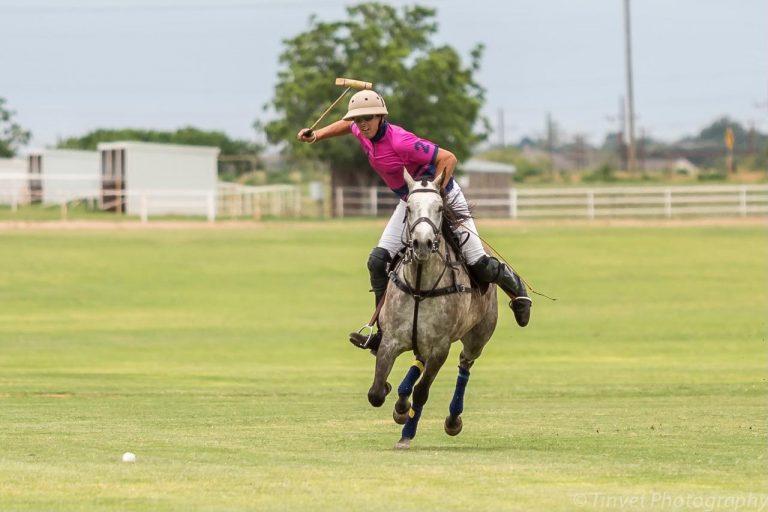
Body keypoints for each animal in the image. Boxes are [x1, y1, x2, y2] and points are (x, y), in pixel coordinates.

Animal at [367, 169, 499, 449]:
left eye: (439, 208)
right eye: (409, 208)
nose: (422, 243)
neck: (419, 286)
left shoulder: (440, 348)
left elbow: (422, 391)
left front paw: (406, 434)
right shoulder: (390, 341)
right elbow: (376, 392)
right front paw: (395, 399)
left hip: (477, 338)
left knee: (464, 365)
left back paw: (452, 420)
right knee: (419, 360)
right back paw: (401, 402)